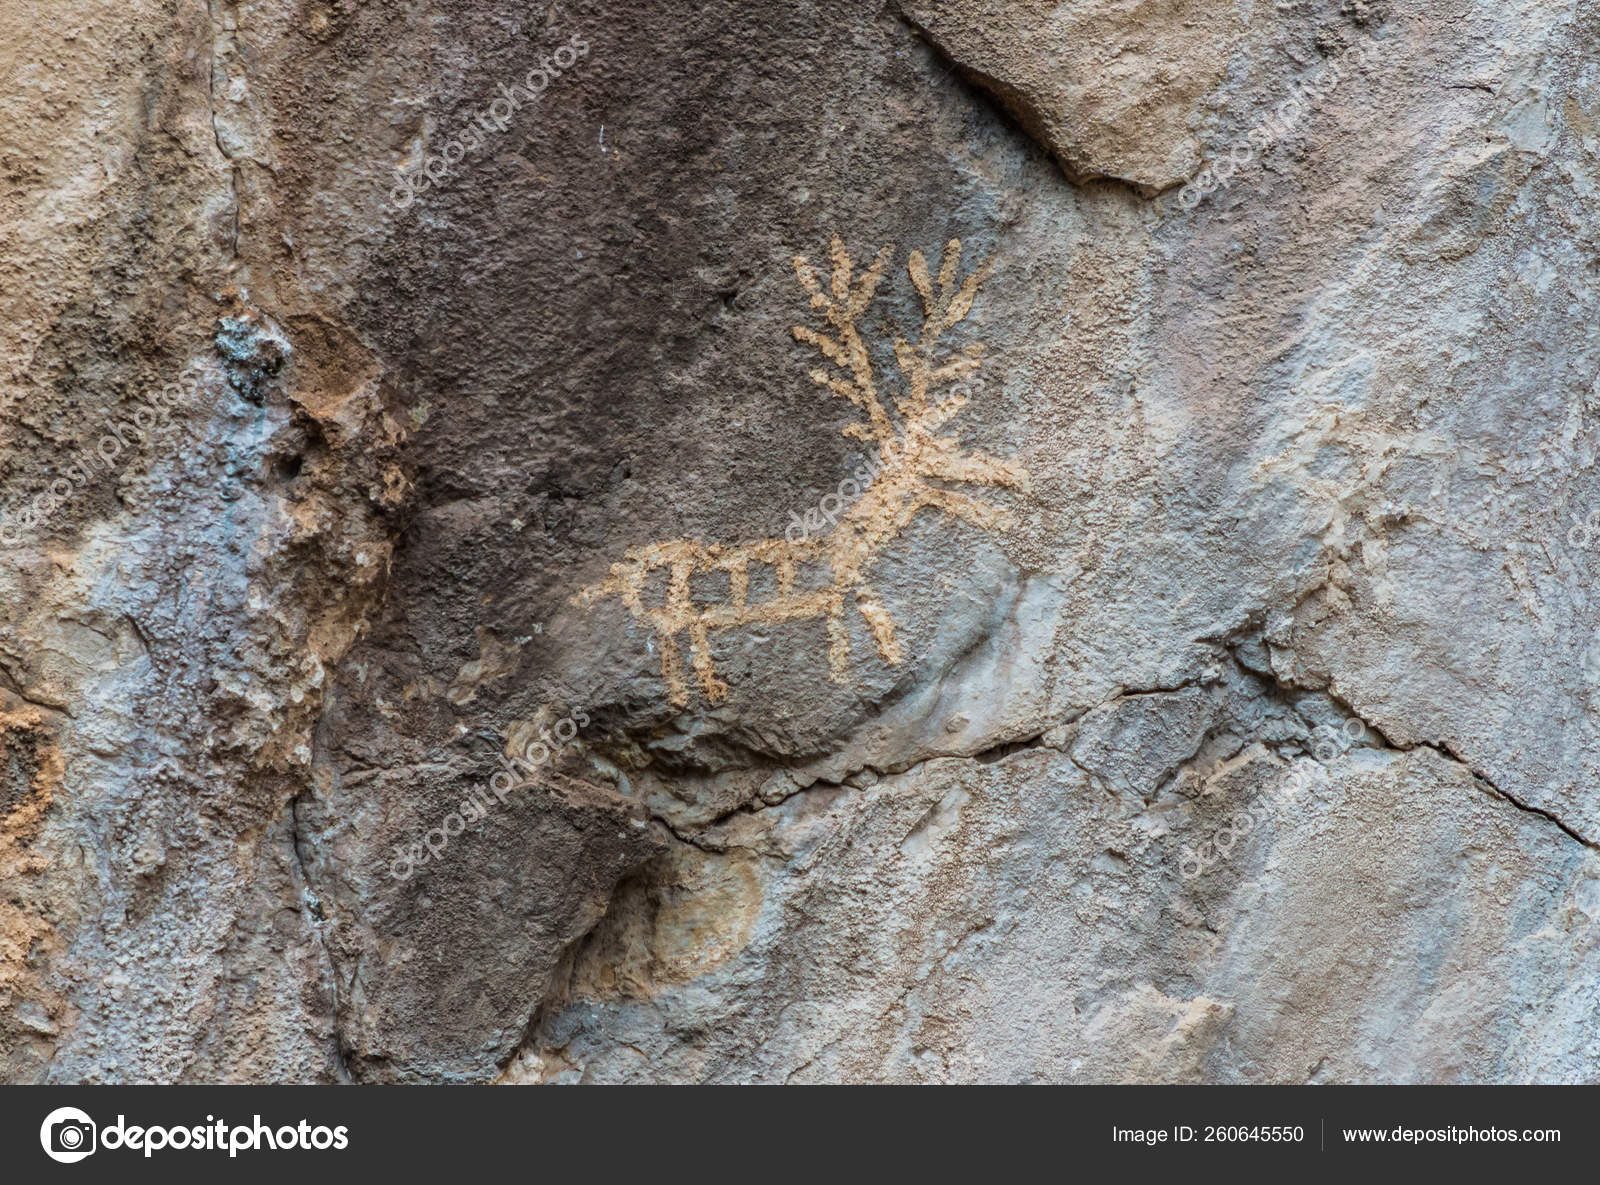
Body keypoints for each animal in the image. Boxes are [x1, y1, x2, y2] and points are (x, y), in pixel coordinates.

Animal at [575, 236, 1030, 708]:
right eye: (934, 460)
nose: (1008, 478)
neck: (842, 545)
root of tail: (625, 568)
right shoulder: (840, 593)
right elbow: (856, 626)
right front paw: (864, 669)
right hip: (674, 613)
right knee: (677, 646)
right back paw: (701, 693)